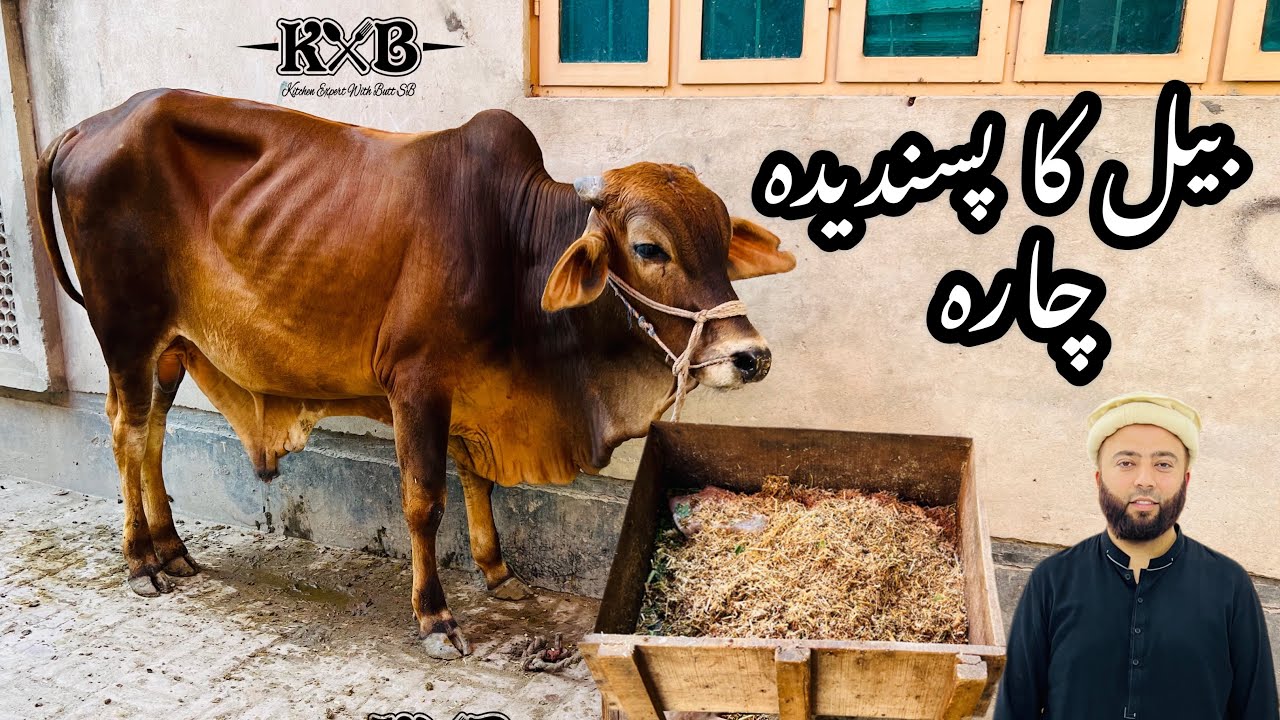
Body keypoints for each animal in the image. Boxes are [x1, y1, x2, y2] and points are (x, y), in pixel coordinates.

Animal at [36, 88, 796, 659]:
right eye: (648, 248)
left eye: (721, 238)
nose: (751, 355)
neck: (510, 242)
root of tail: (84, 126)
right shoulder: (416, 383)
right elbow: (424, 500)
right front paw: (435, 617)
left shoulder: (475, 389)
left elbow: (479, 481)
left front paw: (498, 573)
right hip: (126, 333)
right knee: (126, 433)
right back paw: (140, 561)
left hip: (170, 347)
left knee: (155, 435)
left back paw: (172, 548)